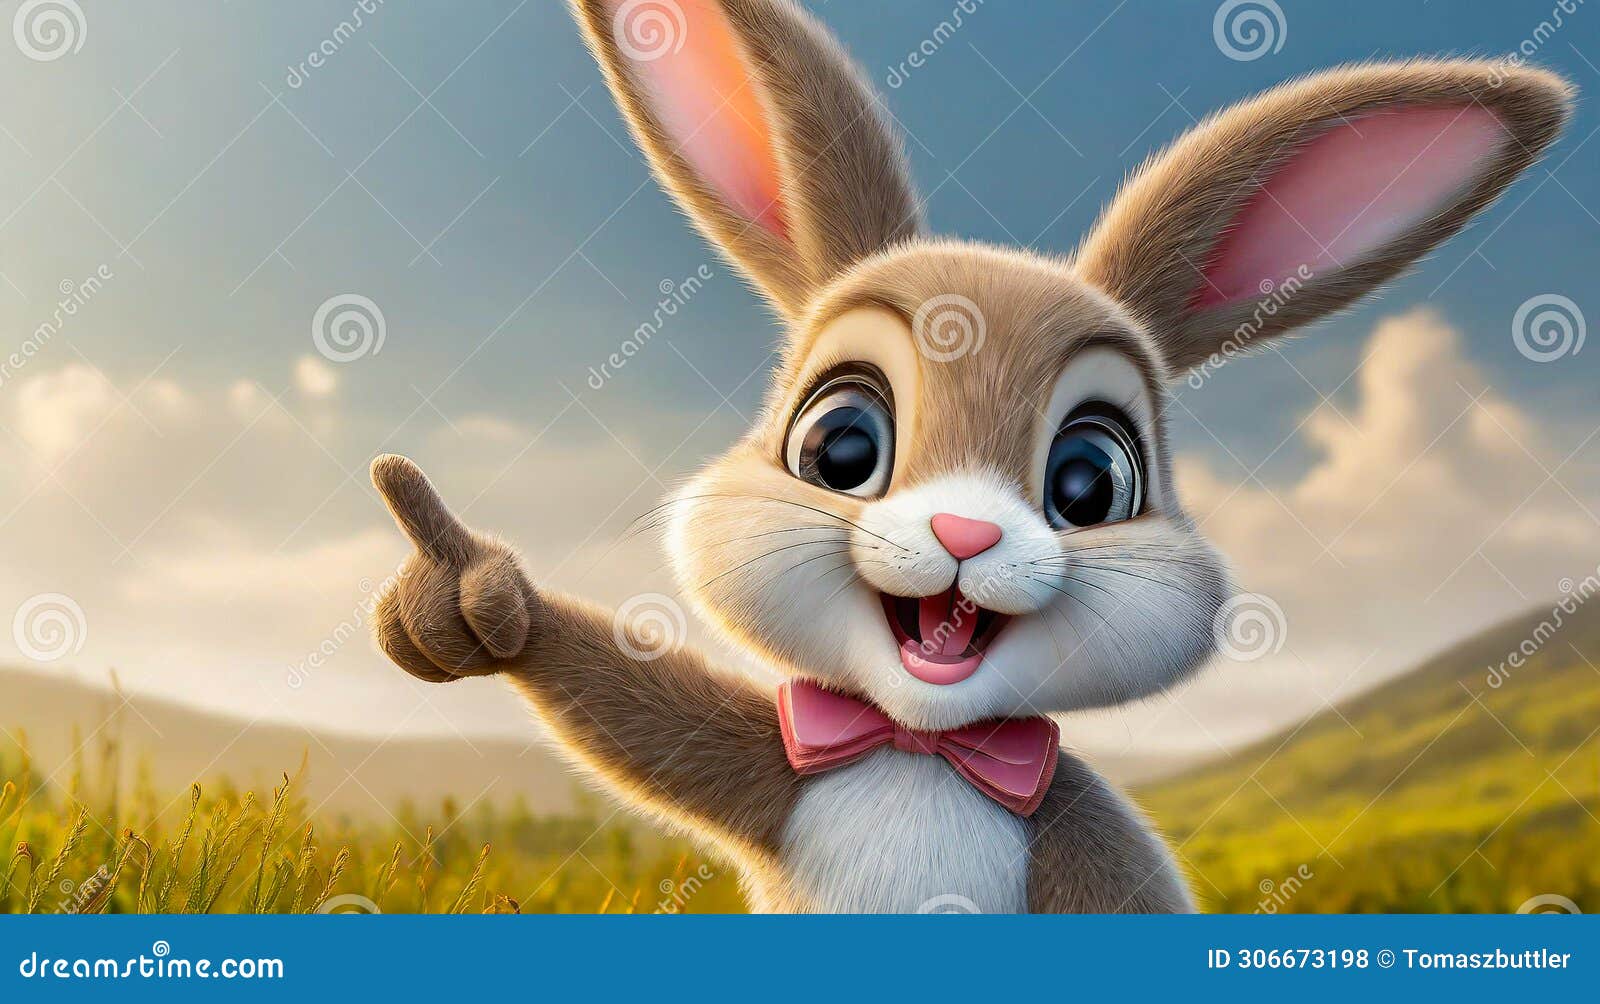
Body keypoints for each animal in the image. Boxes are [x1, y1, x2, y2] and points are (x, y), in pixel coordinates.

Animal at [368, 0, 1572, 913]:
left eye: (1092, 481)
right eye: (840, 444)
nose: (964, 530)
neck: (920, 749)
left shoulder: (1079, 828)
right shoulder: (774, 763)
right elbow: (631, 710)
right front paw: (470, 597)